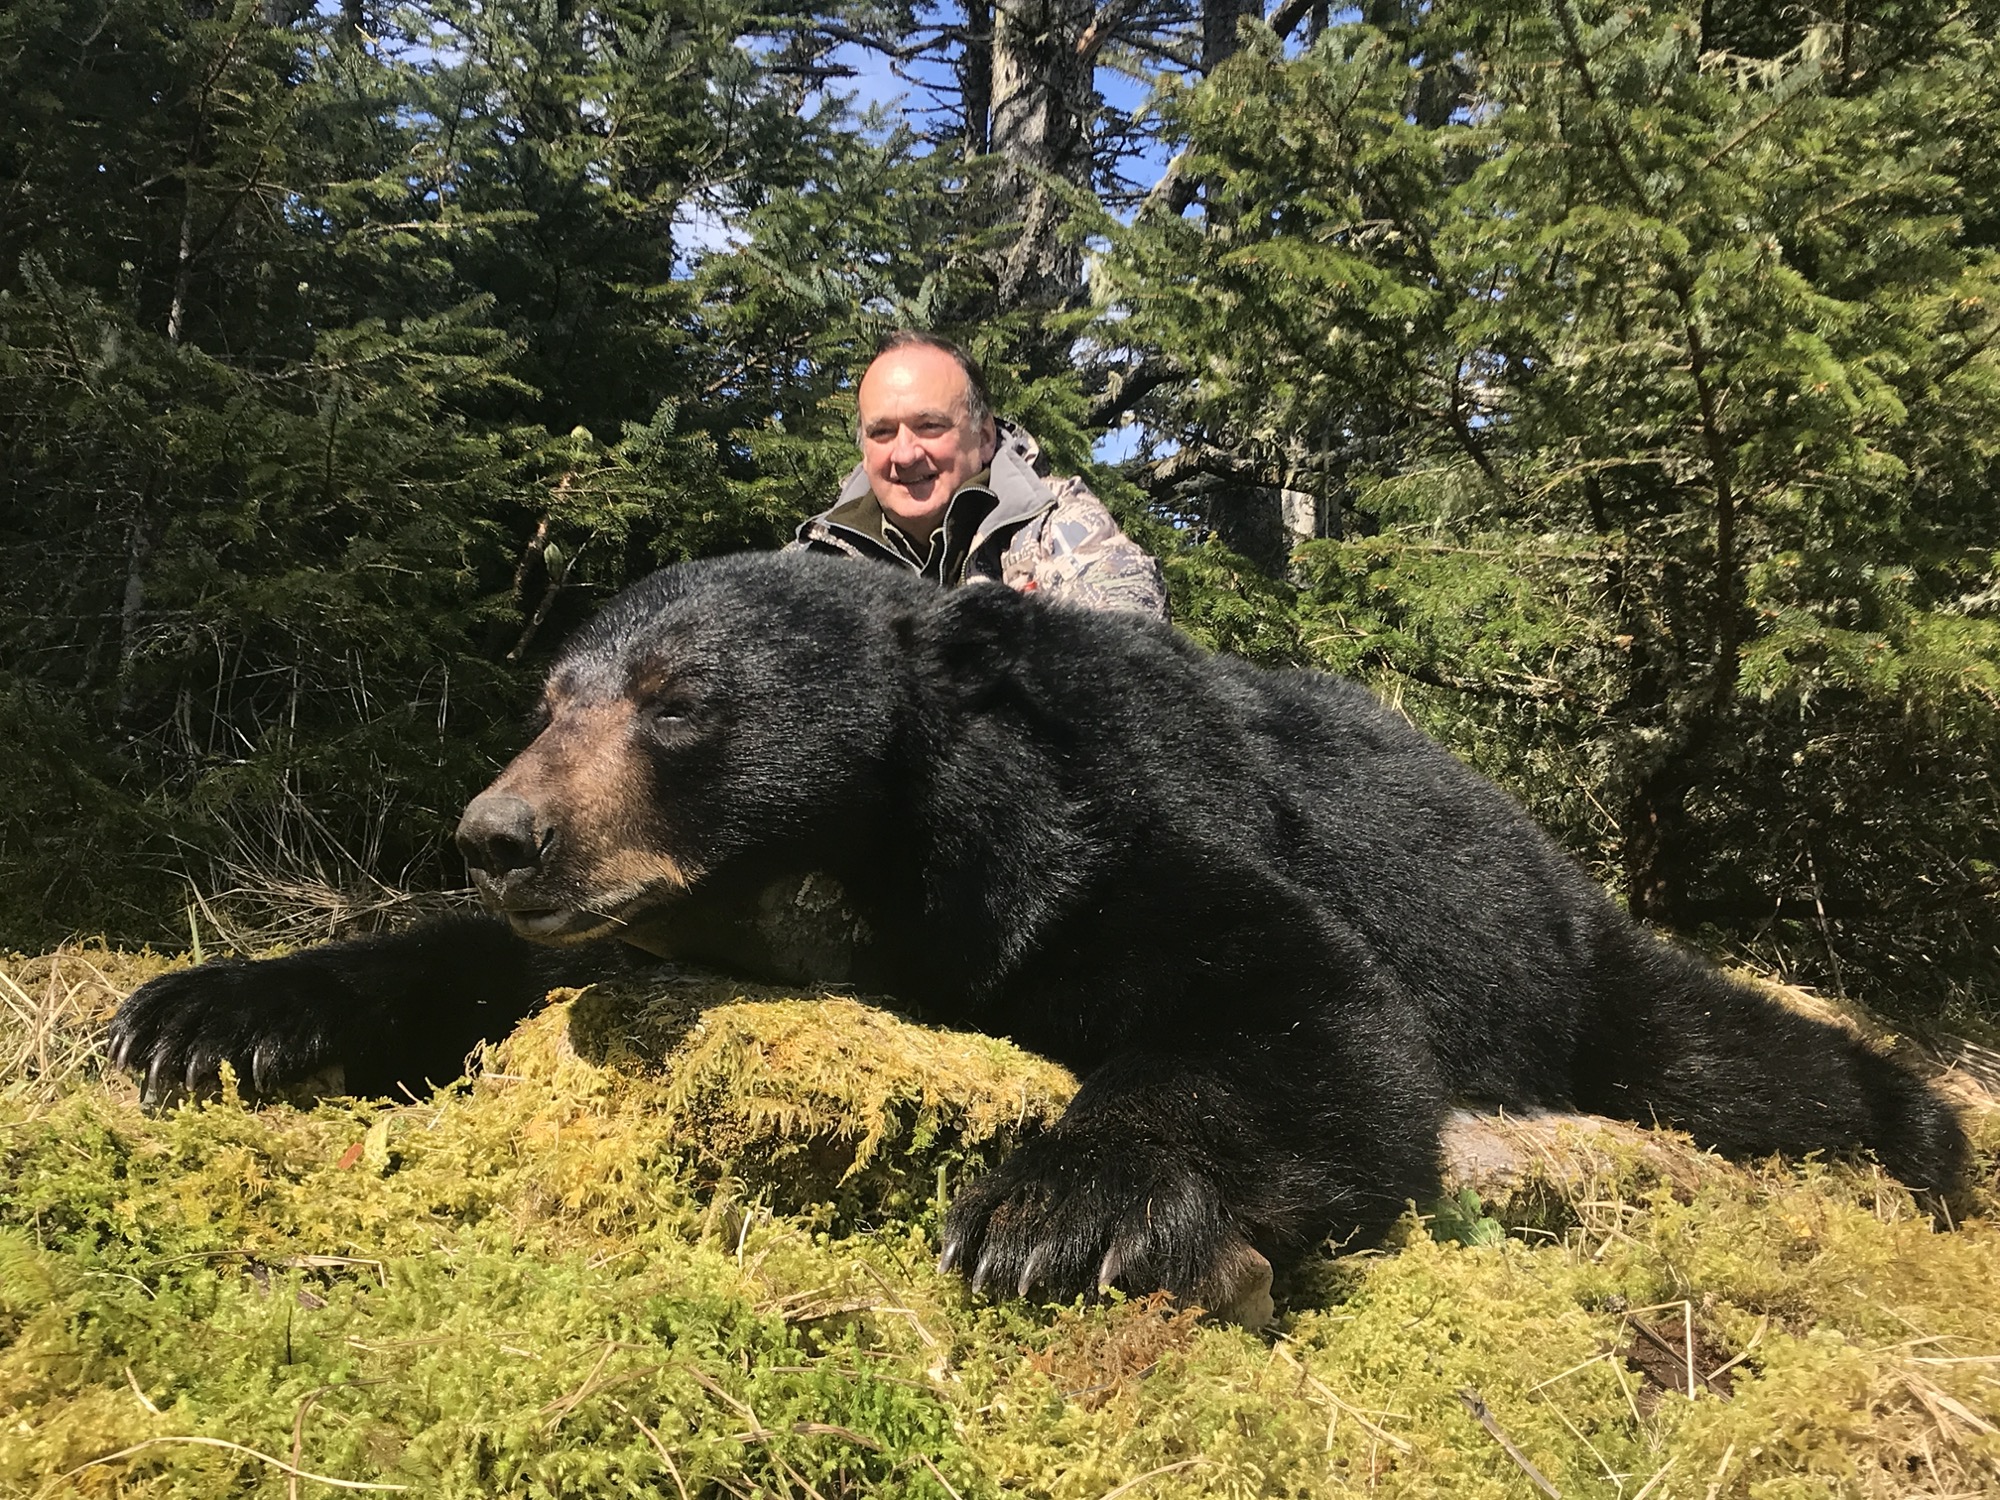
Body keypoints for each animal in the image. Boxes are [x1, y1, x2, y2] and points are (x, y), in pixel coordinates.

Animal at [110, 549, 1970, 1313]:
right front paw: (209, 1012)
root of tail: (1540, 836)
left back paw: (1931, 1140)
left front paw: (1058, 1210)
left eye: (679, 697)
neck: (856, 876)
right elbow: (484, 962)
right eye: (548, 697)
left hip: (1565, 965)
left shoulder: (1093, 838)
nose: (500, 834)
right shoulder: (638, 919)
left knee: (1719, 1052)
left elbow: (1307, 1004)